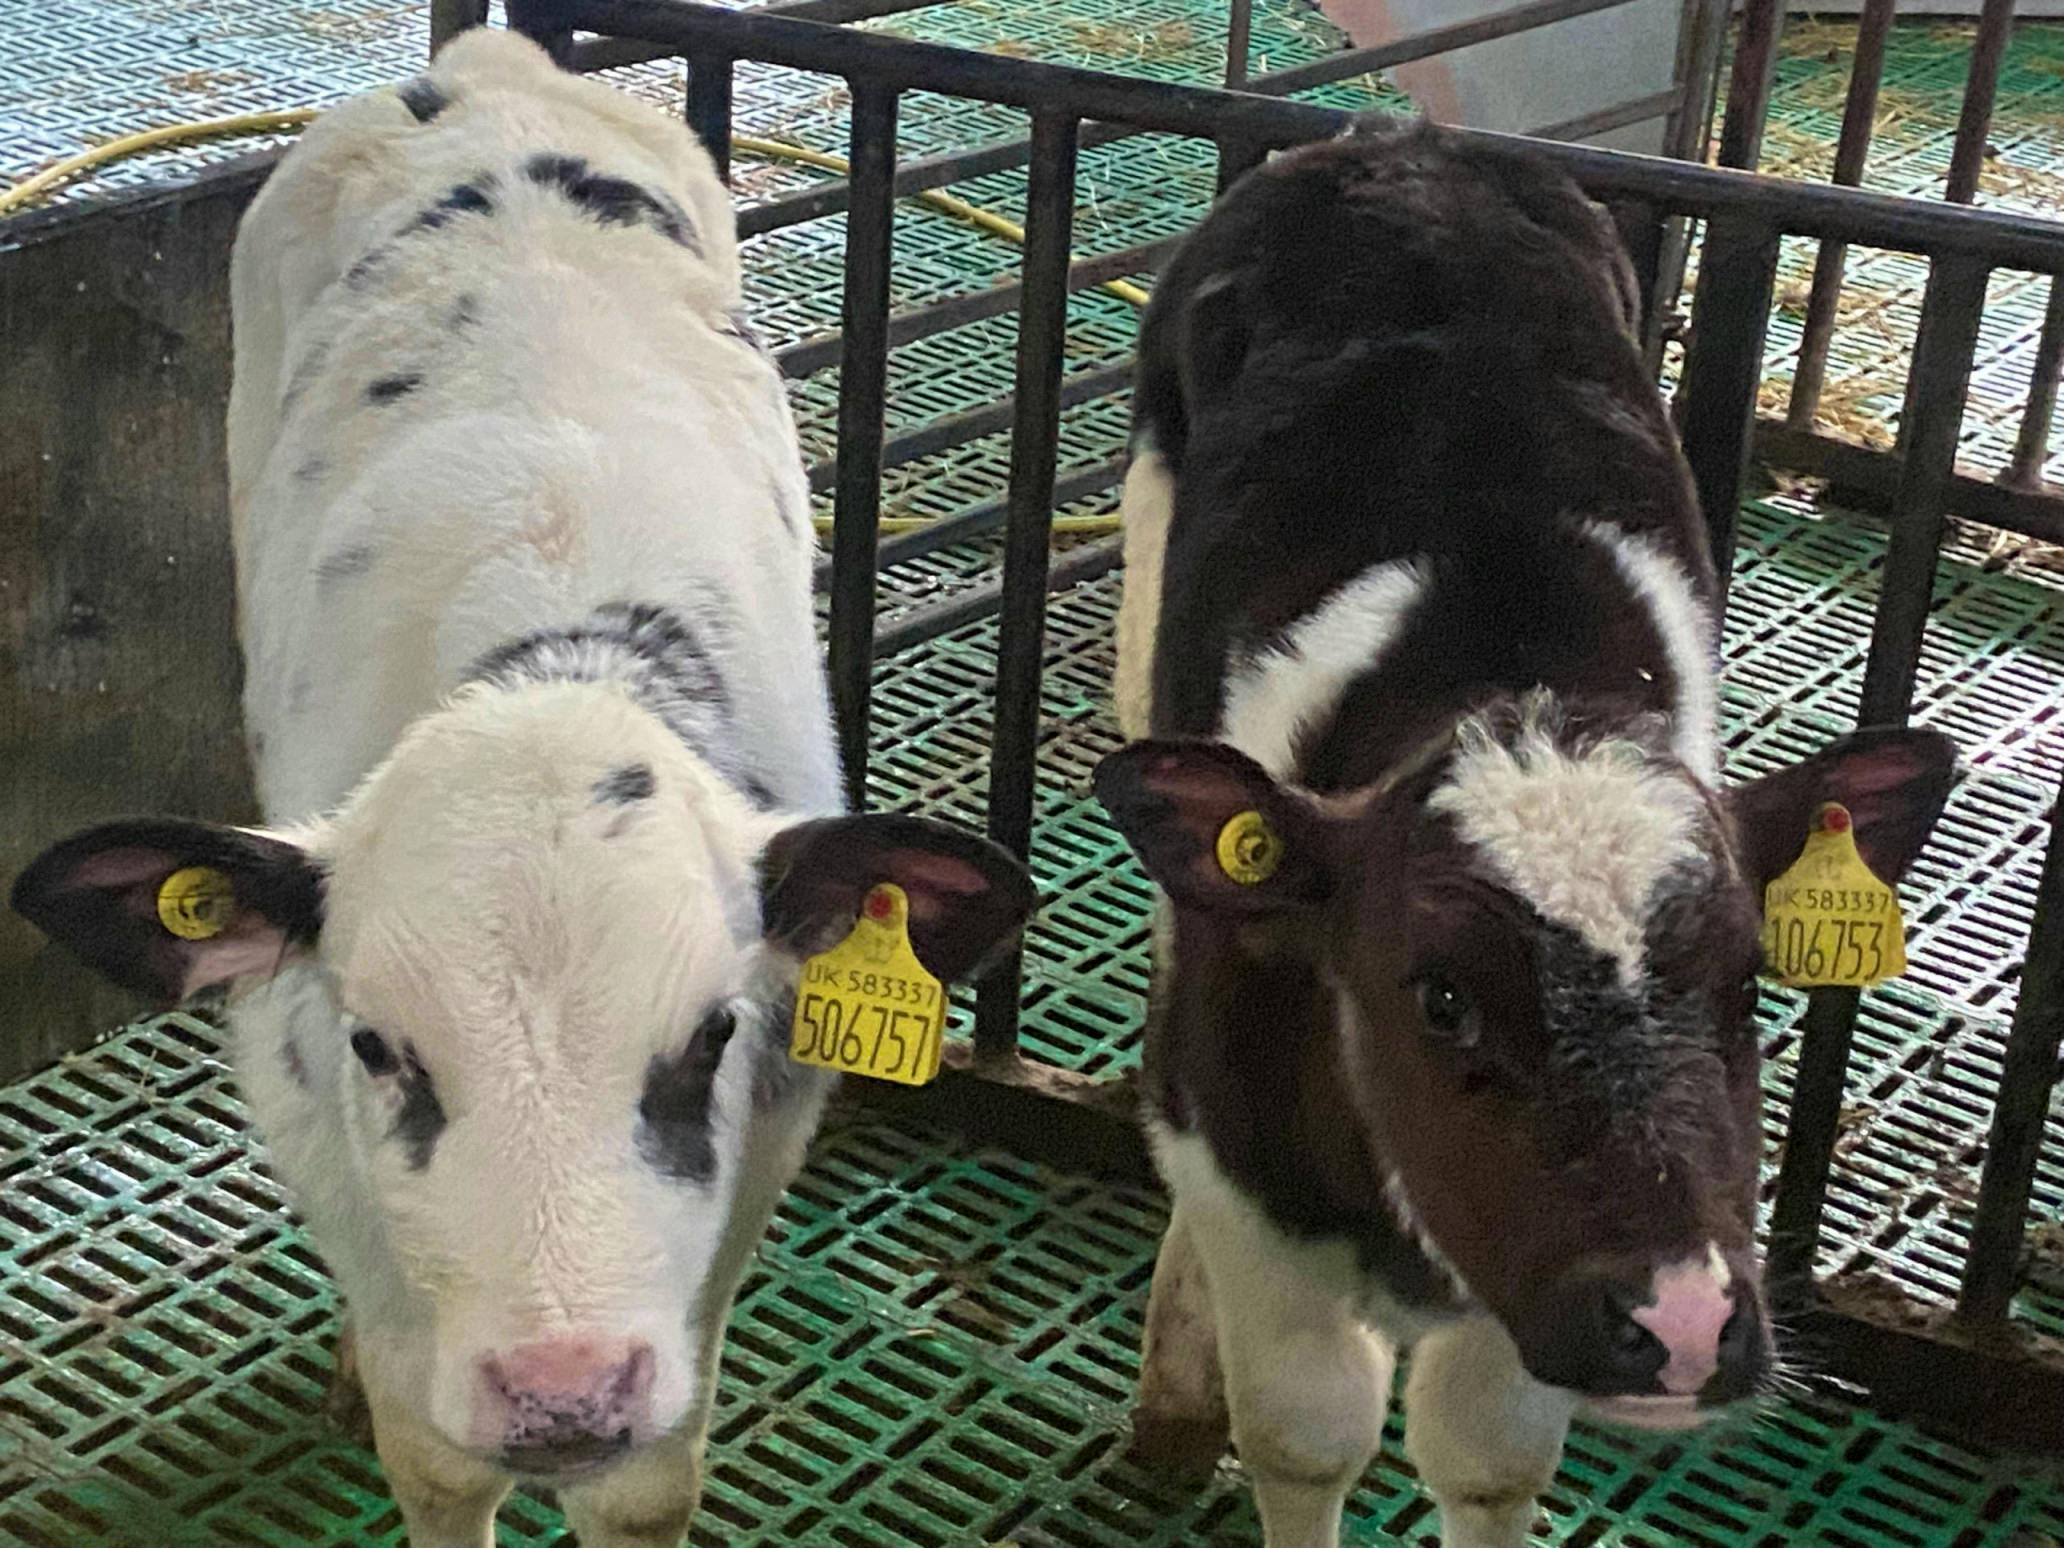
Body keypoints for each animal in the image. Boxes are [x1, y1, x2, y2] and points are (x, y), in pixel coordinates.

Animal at [12, 31, 1034, 1548]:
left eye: (712, 1036)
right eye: (379, 1045)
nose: (562, 1391)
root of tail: (482, 67)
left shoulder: (741, 1184)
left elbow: (648, 1480)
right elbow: (434, 1458)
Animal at [1095, 123, 1957, 1548]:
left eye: (1745, 985)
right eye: (1439, 997)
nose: (1683, 1320)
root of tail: (1398, 144)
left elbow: (1487, 1457)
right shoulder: (1245, 1170)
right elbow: (1305, 1430)